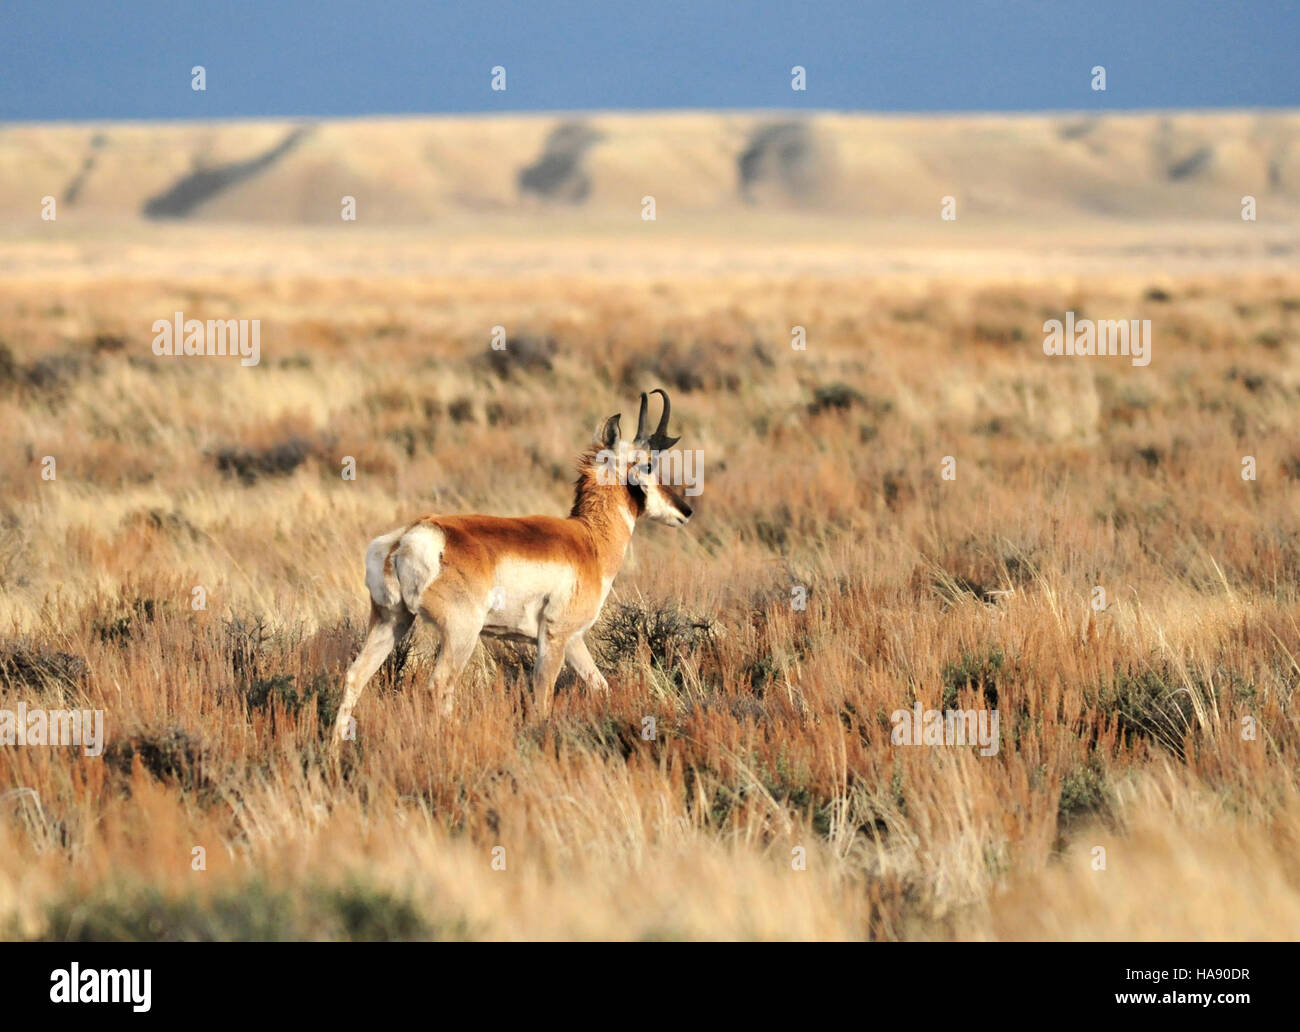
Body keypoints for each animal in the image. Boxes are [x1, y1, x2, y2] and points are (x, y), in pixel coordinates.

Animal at [333, 389, 693, 740]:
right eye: (648, 464)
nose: (685, 510)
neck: (588, 540)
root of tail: (409, 537)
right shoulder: (555, 637)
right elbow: (542, 697)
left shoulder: (573, 641)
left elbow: (600, 686)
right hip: (461, 633)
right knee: (440, 685)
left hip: (391, 621)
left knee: (355, 676)